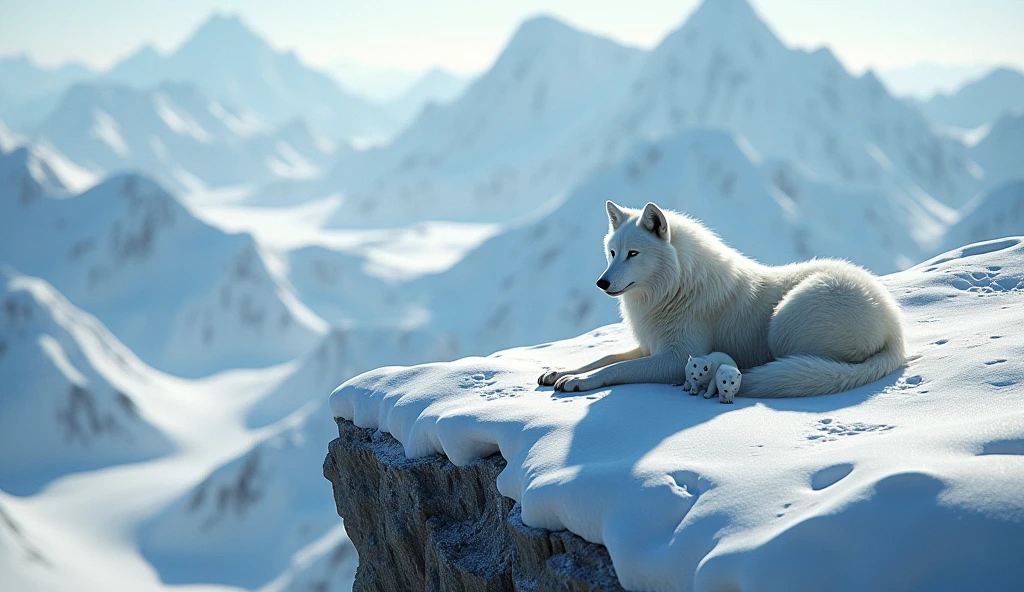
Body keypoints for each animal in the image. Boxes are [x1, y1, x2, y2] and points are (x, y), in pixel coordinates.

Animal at [537, 201, 906, 398]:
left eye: (633, 253)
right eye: (612, 253)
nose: (601, 283)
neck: (675, 288)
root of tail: (895, 329)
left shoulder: (676, 358)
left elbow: (617, 367)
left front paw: (580, 382)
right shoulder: (650, 346)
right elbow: (605, 357)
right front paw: (560, 372)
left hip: (785, 321)